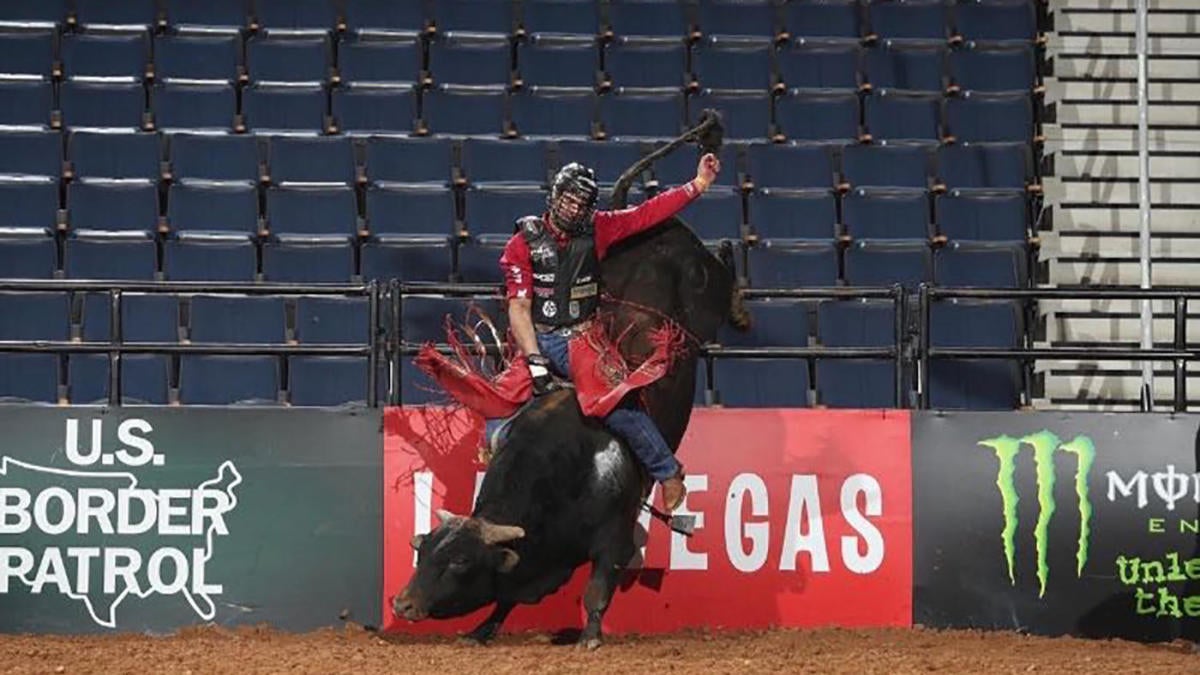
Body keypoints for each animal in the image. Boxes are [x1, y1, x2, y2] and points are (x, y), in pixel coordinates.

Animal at [393, 111, 748, 649]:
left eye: (459, 562)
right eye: (425, 549)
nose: (403, 603)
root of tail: (624, 209)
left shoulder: (612, 536)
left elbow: (598, 587)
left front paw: (590, 636)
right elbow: (508, 596)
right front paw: (483, 629)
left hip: (703, 285)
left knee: (721, 273)